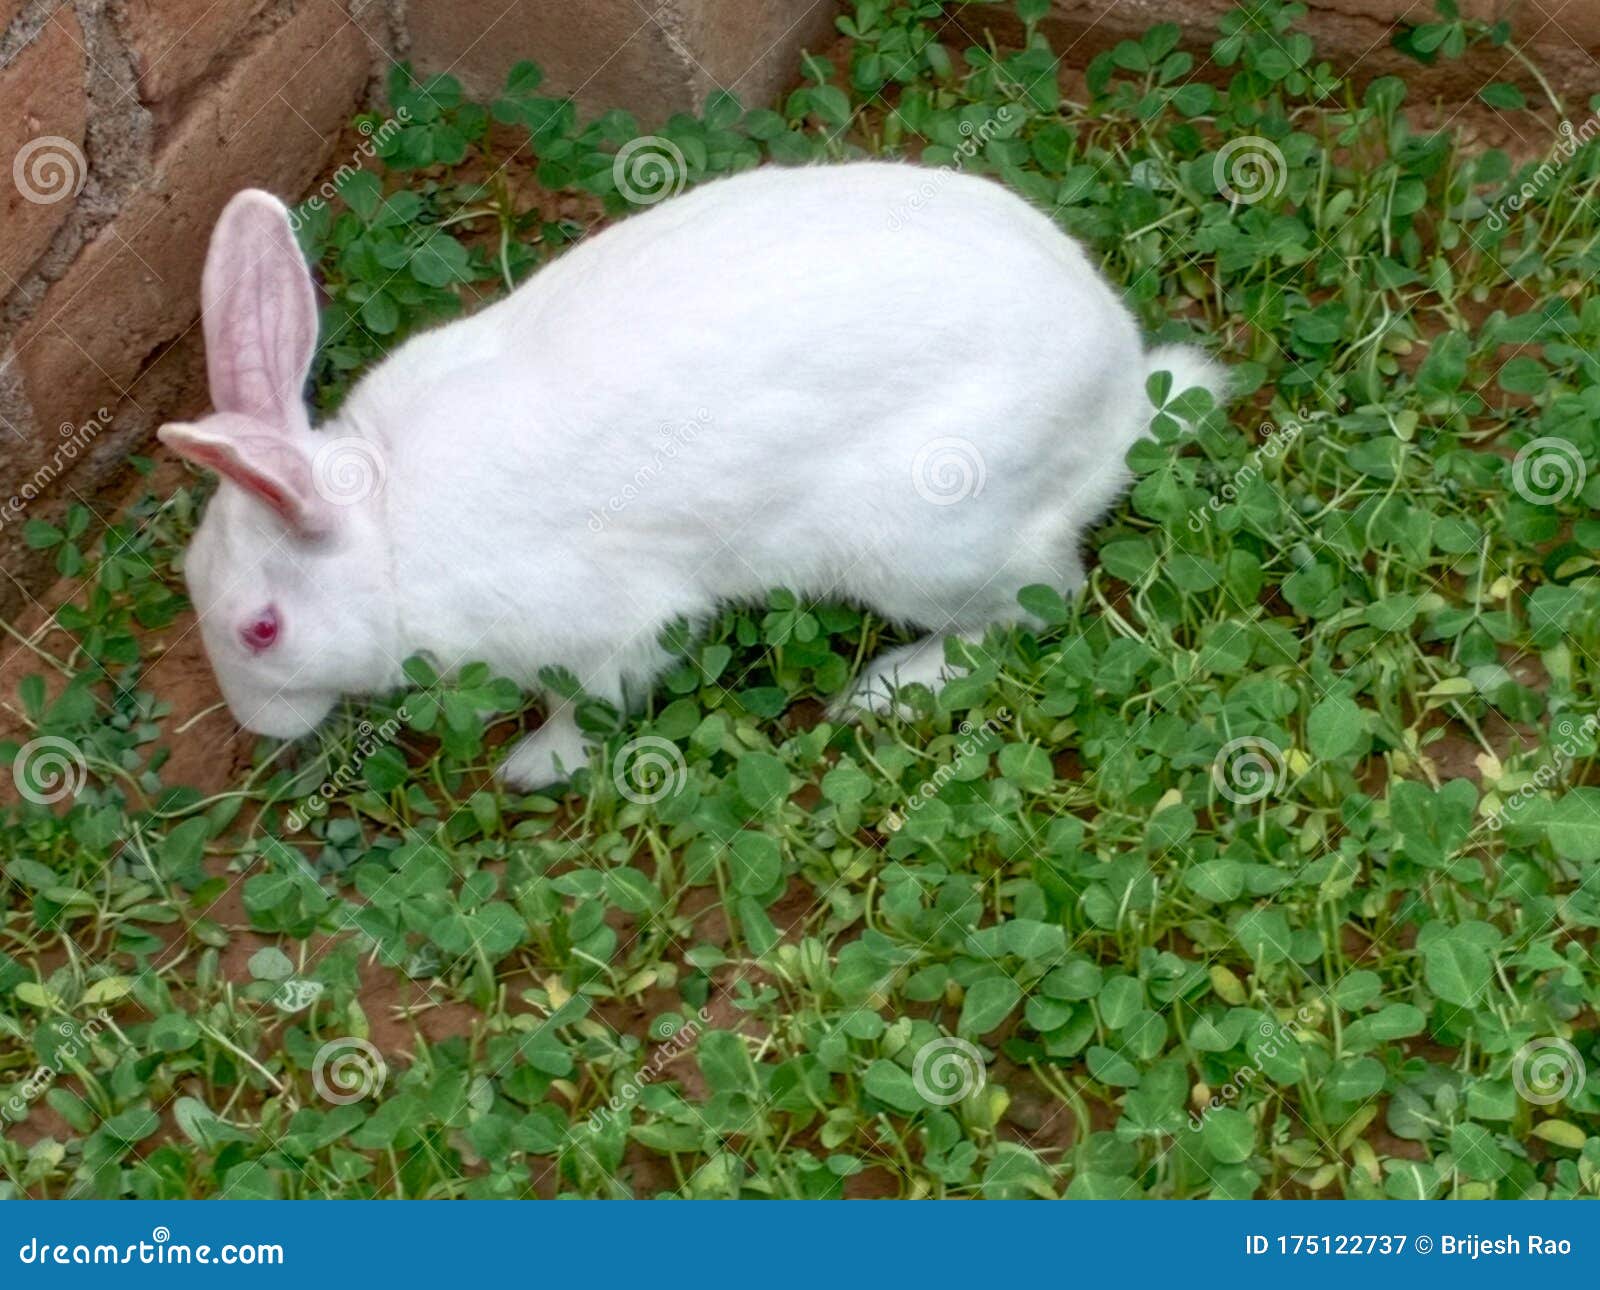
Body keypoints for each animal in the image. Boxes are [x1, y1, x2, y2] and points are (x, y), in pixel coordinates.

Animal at [159, 161, 1227, 790]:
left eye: (262, 629)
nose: (258, 726)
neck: (385, 529)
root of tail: (1122, 401)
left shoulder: (600, 632)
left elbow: (590, 704)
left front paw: (533, 766)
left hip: (924, 541)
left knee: (1035, 604)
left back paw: (884, 688)